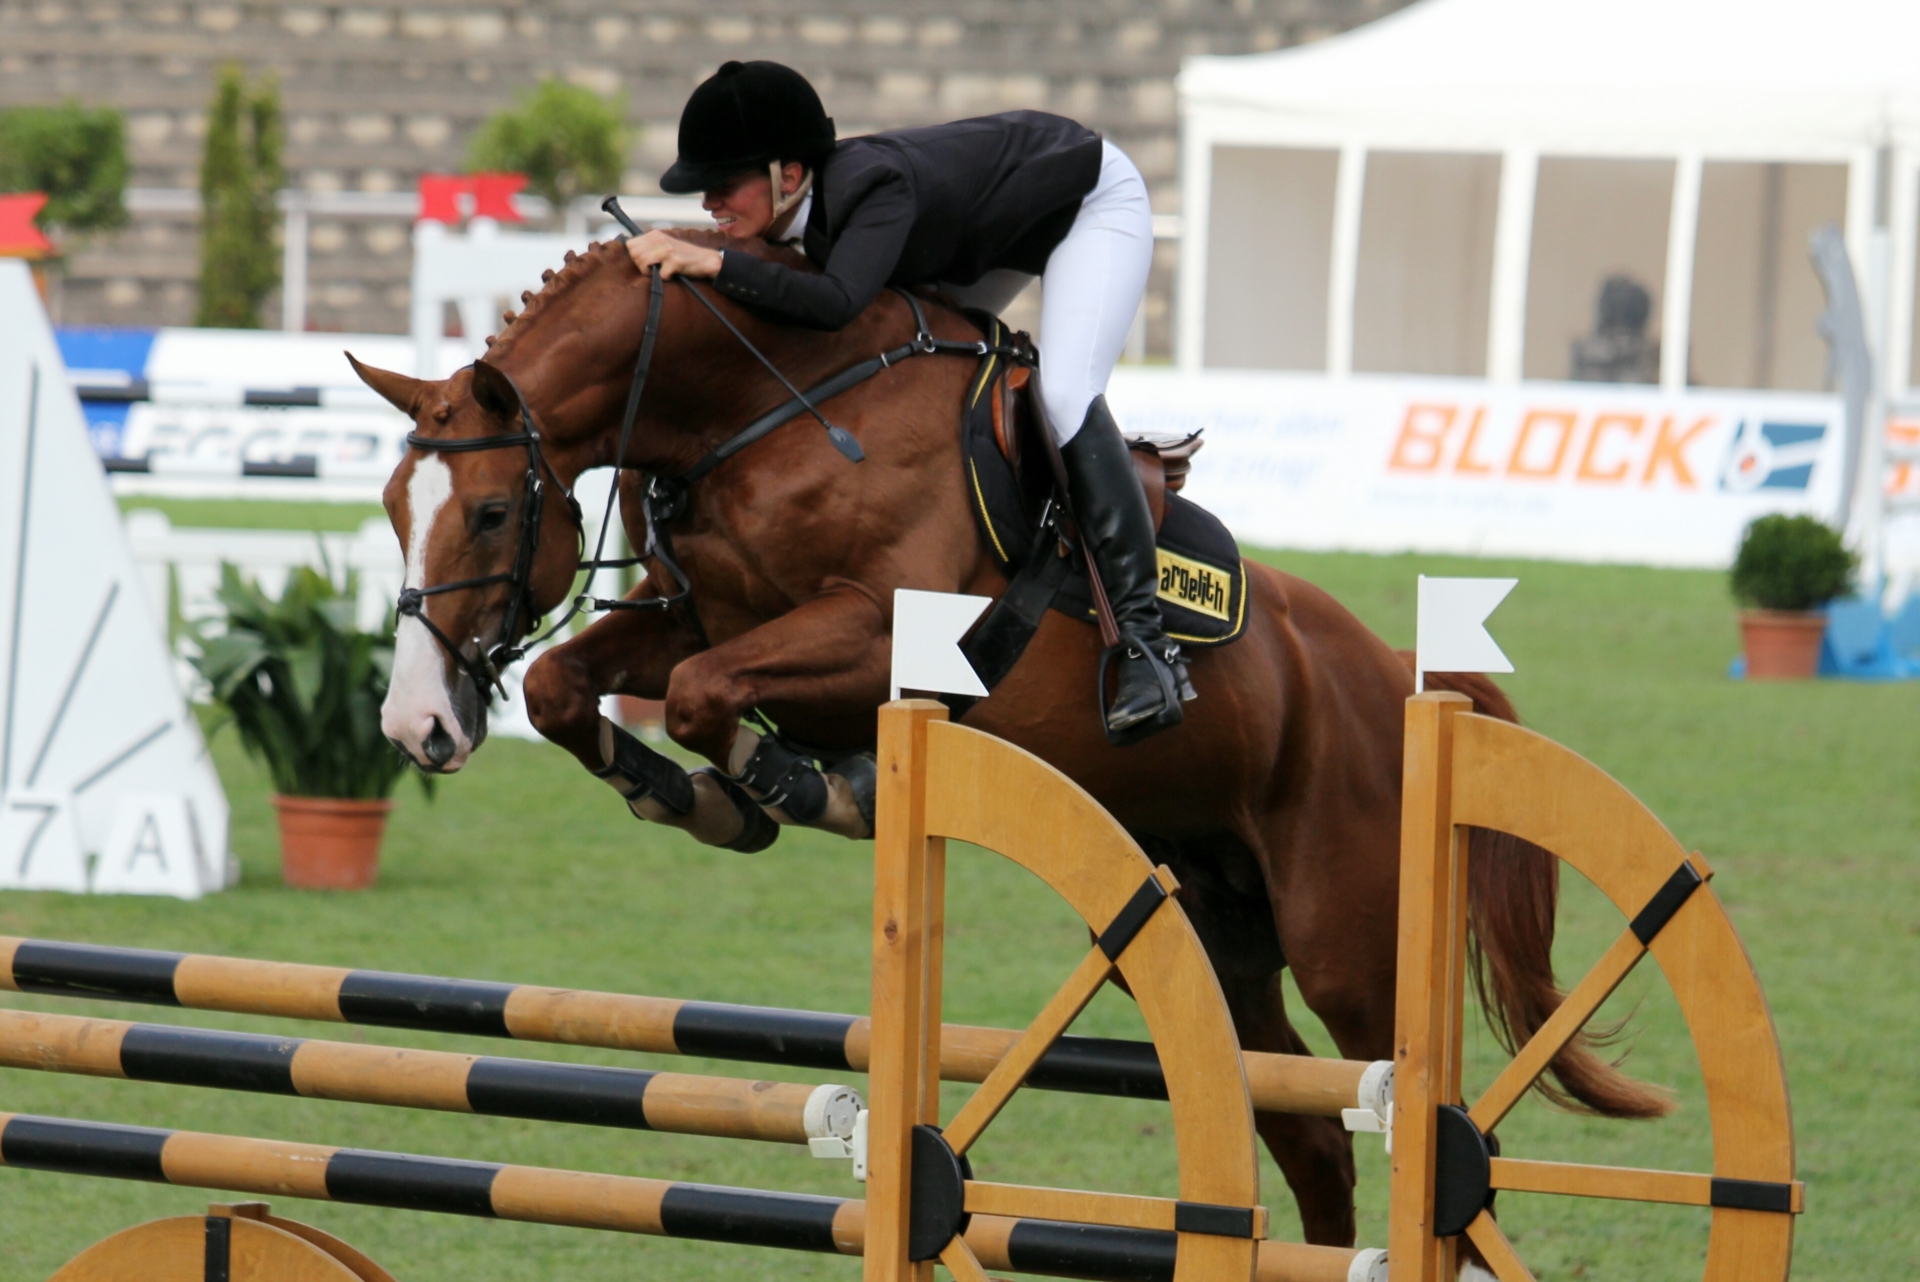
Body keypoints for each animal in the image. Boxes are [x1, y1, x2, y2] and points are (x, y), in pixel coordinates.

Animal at [351, 233, 1669, 1248]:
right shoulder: (699, 614)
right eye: (392, 509)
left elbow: (702, 696)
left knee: (1395, 1099)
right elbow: (571, 683)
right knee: (1305, 1129)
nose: (416, 725)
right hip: (1216, 929)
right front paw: (692, 797)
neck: (768, 404)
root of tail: (1395, 674)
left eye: (489, 511)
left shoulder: (876, 631)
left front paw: (798, 786)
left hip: (1345, 934)